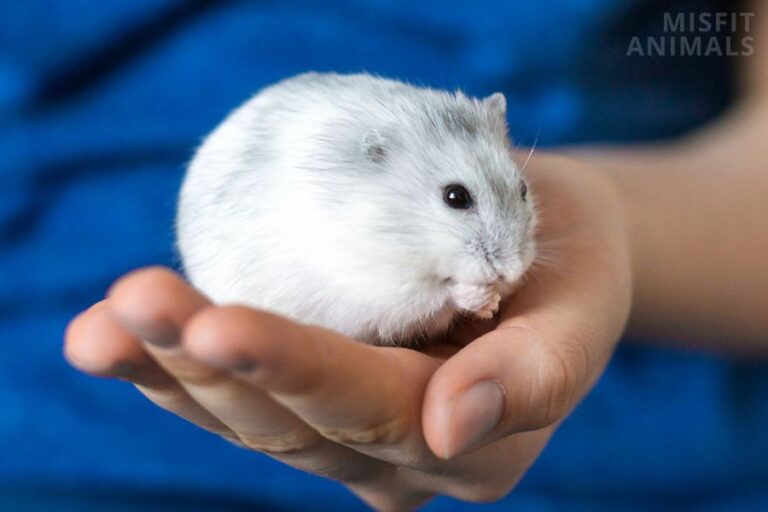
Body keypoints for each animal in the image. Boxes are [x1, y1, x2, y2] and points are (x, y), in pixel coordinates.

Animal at [176, 72, 537, 346]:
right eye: (455, 197)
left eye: (523, 189)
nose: (512, 271)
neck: (398, 228)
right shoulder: (380, 289)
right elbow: (438, 296)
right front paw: (481, 299)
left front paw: (492, 302)